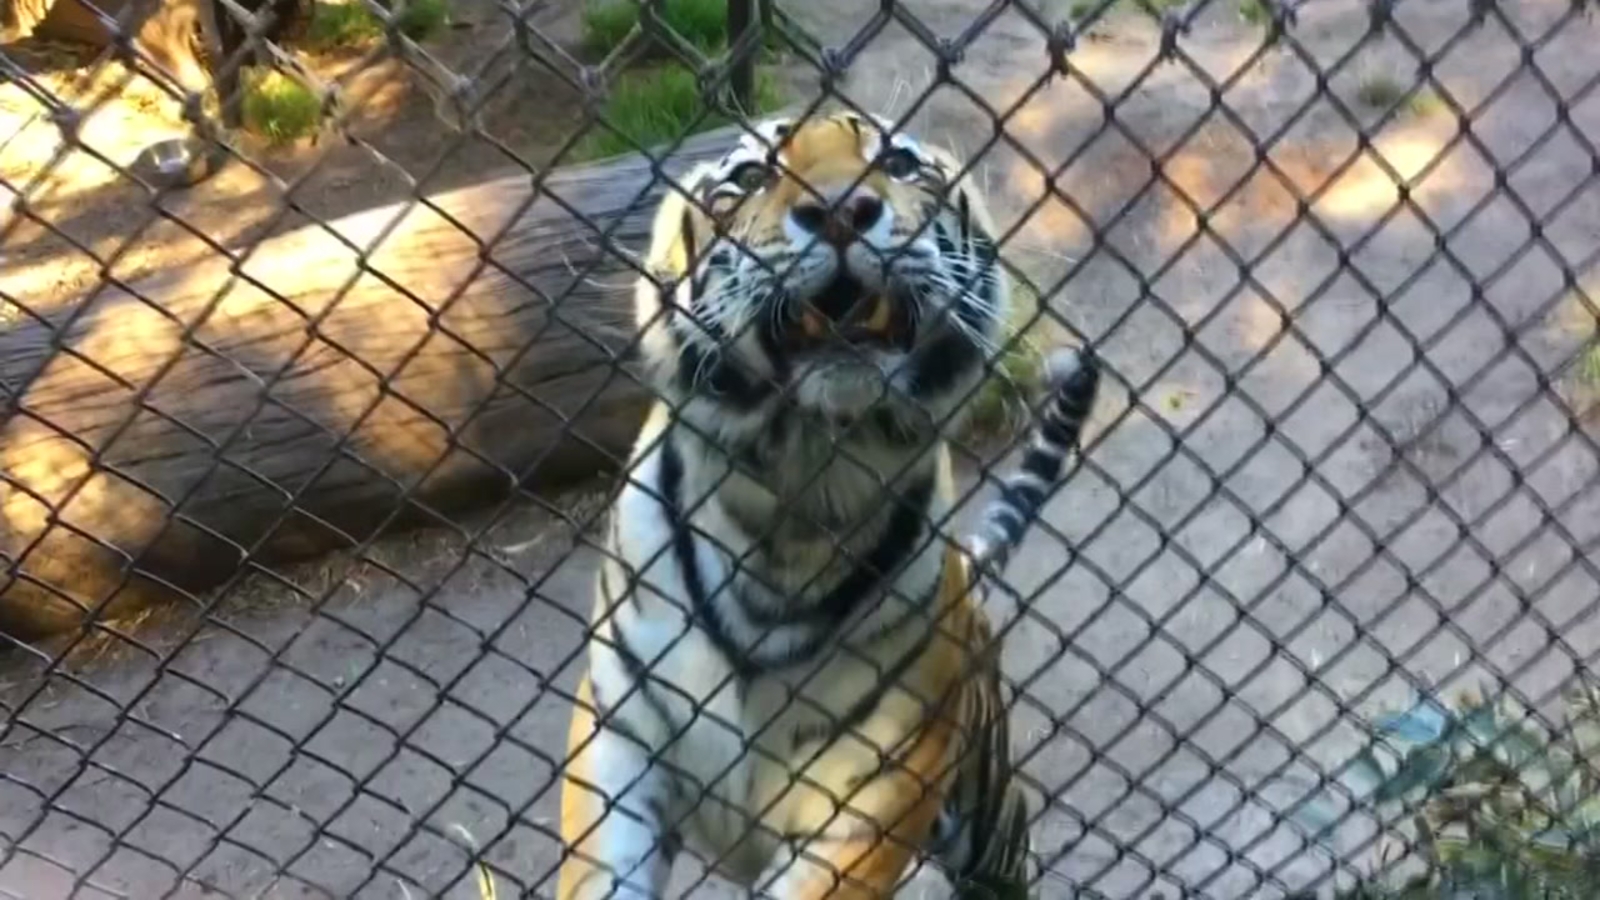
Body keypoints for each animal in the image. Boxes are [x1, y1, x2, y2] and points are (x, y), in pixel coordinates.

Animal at [556, 110, 1101, 900]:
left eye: (899, 164)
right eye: (751, 177)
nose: (842, 210)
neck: (795, 506)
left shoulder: (876, 785)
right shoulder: (619, 738)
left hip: (987, 817)